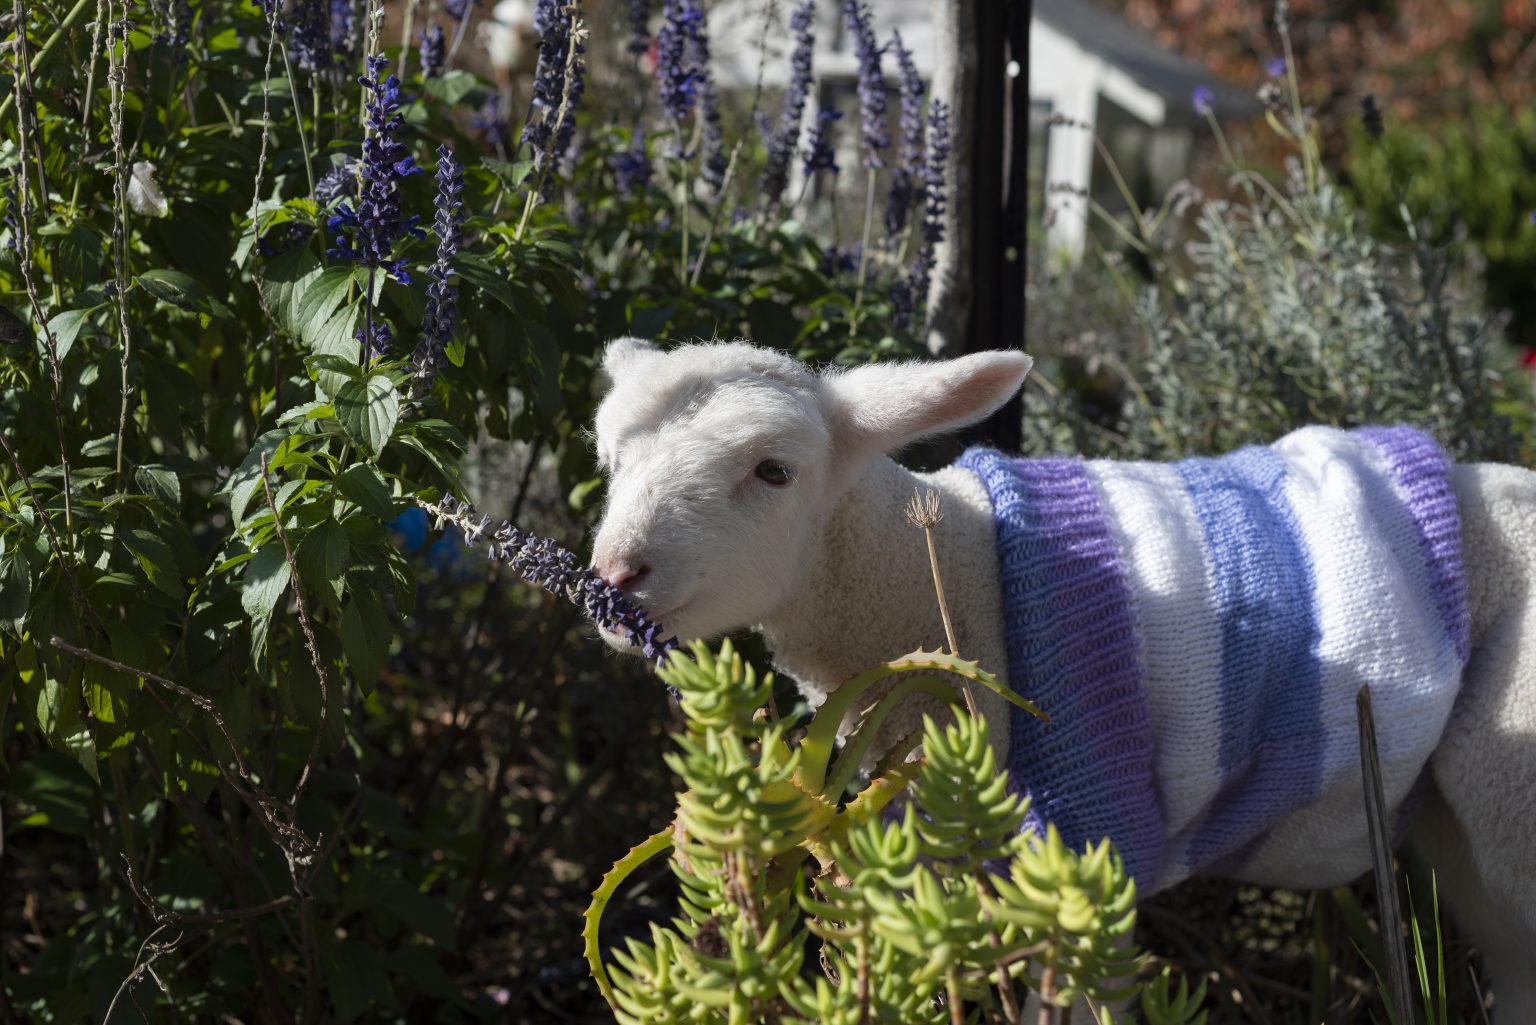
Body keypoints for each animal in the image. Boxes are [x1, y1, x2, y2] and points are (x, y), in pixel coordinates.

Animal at [589, 337, 1536, 1020]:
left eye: (773, 470)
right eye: (611, 460)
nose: (615, 576)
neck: (950, 570)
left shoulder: (1092, 851)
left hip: (1507, 778)